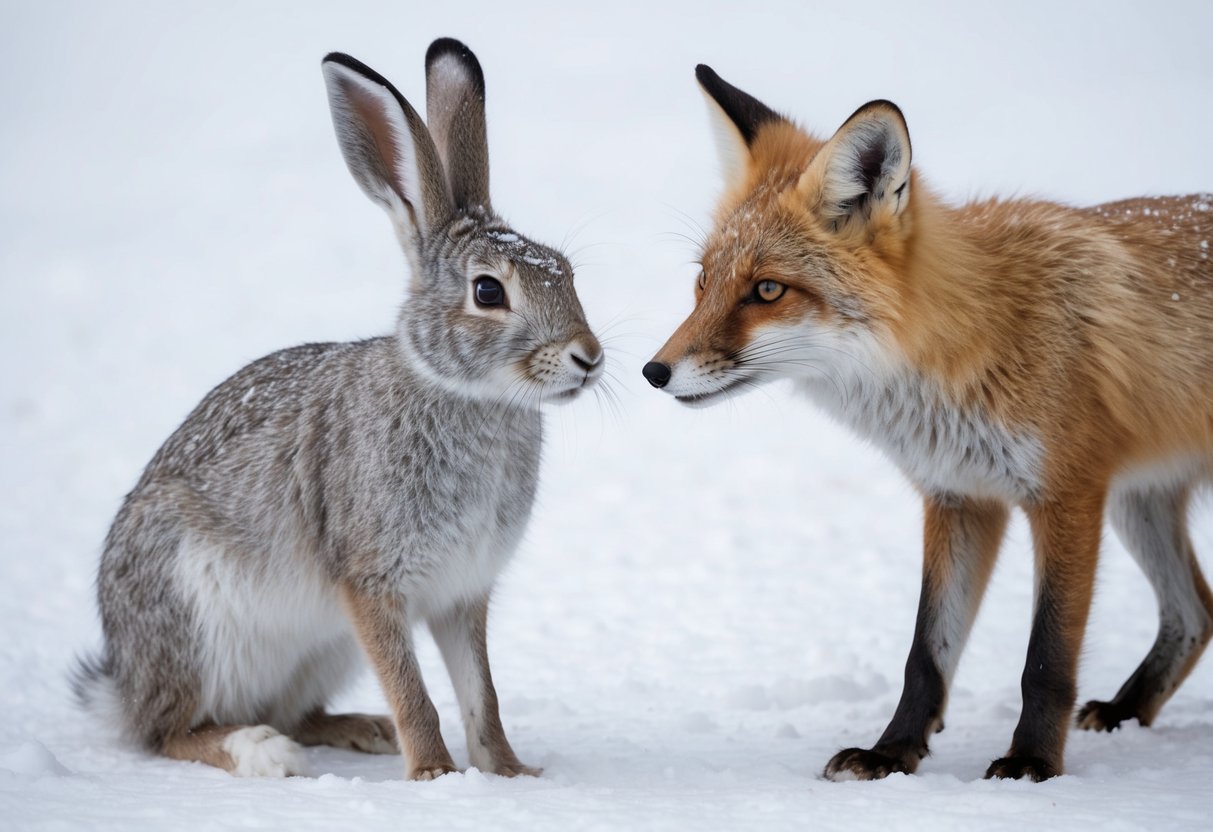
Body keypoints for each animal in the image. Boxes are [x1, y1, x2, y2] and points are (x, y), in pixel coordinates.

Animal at [644, 64, 1213, 782]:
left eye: (767, 290)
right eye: (703, 282)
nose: (653, 372)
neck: (972, 344)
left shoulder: (1065, 496)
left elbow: (1046, 660)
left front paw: (1031, 764)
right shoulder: (959, 496)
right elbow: (926, 653)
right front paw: (891, 753)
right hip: (1139, 502)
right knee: (1196, 612)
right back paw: (1125, 712)